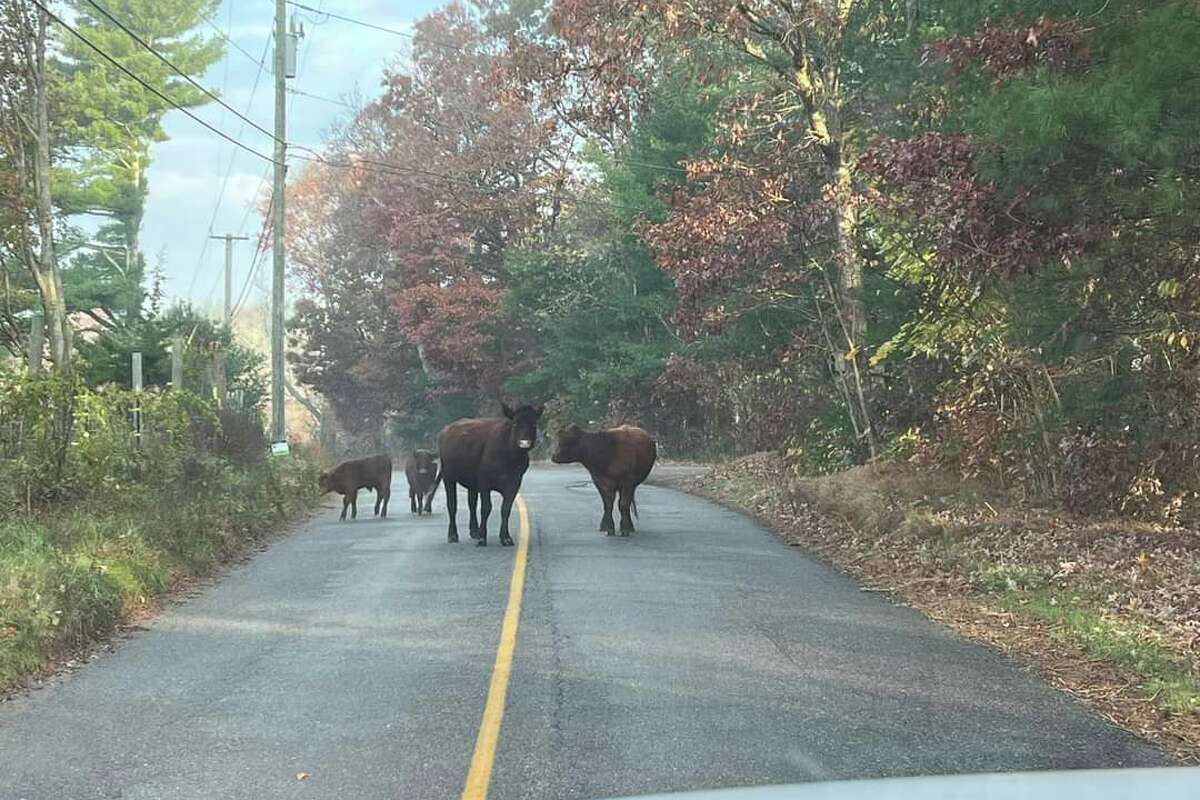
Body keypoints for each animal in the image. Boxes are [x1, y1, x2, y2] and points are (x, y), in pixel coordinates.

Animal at [438, 402, 544, 547]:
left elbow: (506, 509)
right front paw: (483, 538)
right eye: (515, 424)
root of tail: (446, 430)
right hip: (448, 477)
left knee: (472, 503)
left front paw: (505, 537)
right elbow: (486, 508)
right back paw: (453, 535)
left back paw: (474, 531)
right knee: (452, 505)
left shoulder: (515, 482)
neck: (509, 457)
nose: (524, 443)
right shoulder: (484, 482)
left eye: (534, 425)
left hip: (471, 484)